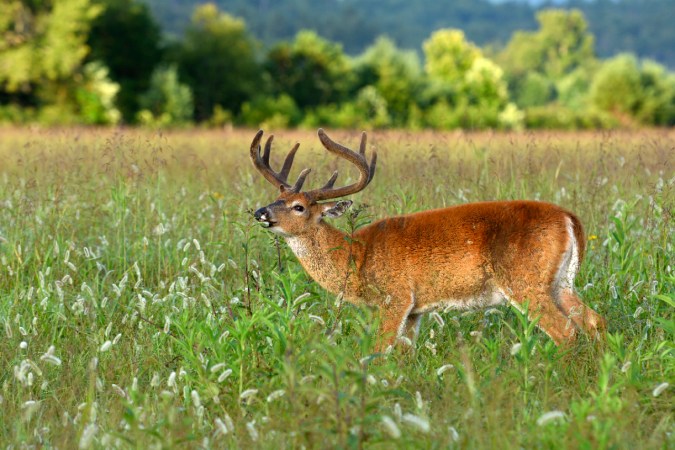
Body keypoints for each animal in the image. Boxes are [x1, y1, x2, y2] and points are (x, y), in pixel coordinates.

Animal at [250, 129, 606, 352]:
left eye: (299, 206)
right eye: (277, 198)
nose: (260, 212)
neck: (358, 257)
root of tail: (569, 218)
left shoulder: (395, 297)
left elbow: (377, 352)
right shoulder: (415, 310)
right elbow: (405, 355)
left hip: (525, 280)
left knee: (566, 331)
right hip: (560, 281)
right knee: (593, 320)